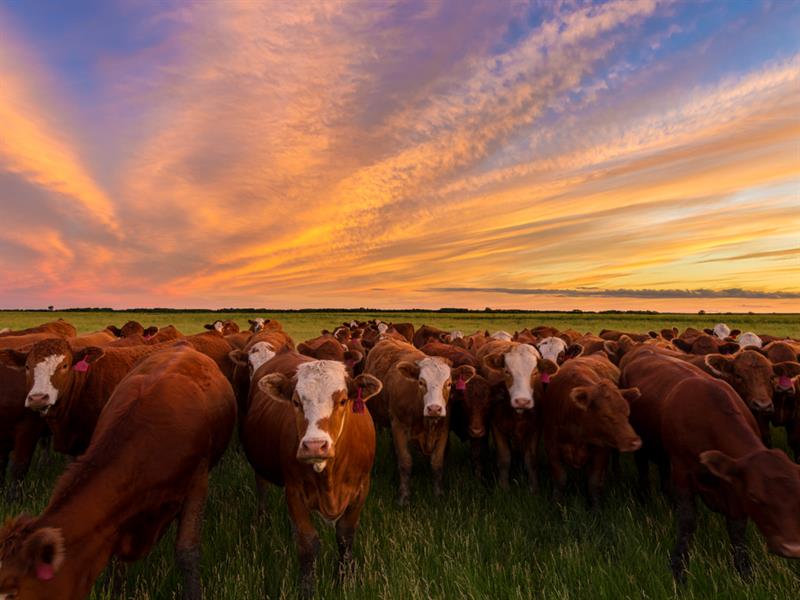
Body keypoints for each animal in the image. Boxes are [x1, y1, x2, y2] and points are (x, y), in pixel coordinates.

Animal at [242, 356, 381, 598]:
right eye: (296, 402)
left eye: (342, 400)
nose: (315, 445)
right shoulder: (294, 491)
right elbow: (307, 542)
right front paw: (307, 589)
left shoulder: (361, 489)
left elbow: (345, 535)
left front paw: (346, 579)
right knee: (262, 487)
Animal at [364, 339, 475, 504]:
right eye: (421, 382)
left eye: (449, 384)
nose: (434, 408)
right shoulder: (399, 426)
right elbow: (405, 462)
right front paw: (404, 496)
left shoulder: (443, 430)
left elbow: (437, 463)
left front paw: (438, 494)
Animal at [540, 354, 641, 507]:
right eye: (605, 415)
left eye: (627, 413)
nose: (635, 442)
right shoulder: (552, 447)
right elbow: (560, 479)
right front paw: (556, 503)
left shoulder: (601, 449)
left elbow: (594, 482)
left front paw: (596, 508)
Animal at [662, 375, 800, 582]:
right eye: (754, 497)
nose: (792, 548)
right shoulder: (680, 472)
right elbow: (687, 520)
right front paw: (679, 567)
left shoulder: (734, 486)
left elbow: (737, 529)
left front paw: (744, 570)